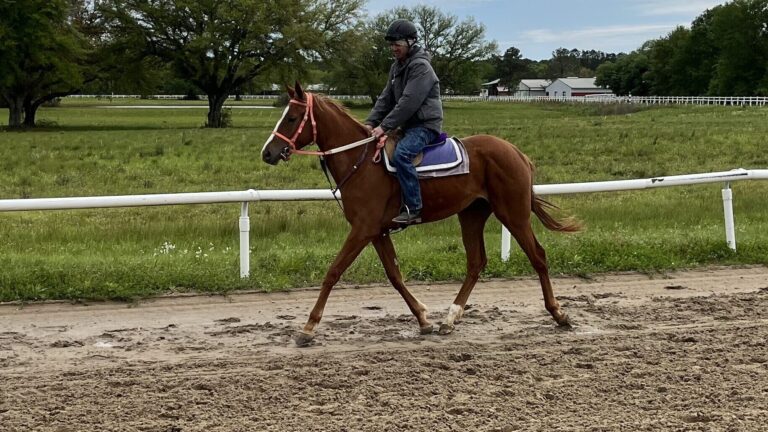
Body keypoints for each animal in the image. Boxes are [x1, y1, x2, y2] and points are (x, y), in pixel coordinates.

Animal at [261, 82, 581, 346]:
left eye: (292, 118)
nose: (268, 153)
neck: (361, 162)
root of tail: (517, 152)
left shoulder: (363, 230)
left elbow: (333, 272)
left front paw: (308, 327)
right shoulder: (376, 231)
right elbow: (394, 275)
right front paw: (424, 319)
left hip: (513, 214)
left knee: (538, 256)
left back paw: (559, 314)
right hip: (472, 215)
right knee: (476, 262)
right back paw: (450, 318)